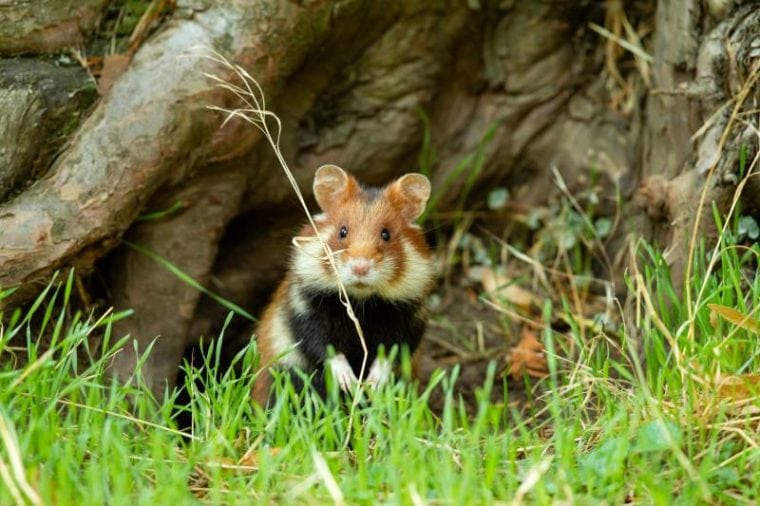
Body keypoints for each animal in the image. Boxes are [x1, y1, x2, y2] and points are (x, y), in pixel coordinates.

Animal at [252, 165, 435, 405]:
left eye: (386, 234)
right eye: (343, 231)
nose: (360, 268)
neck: (361, 301)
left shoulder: (410, 318)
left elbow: (391, 351)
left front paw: (371, 384)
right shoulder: (306, 310)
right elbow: (326, 347)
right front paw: (350, 383)